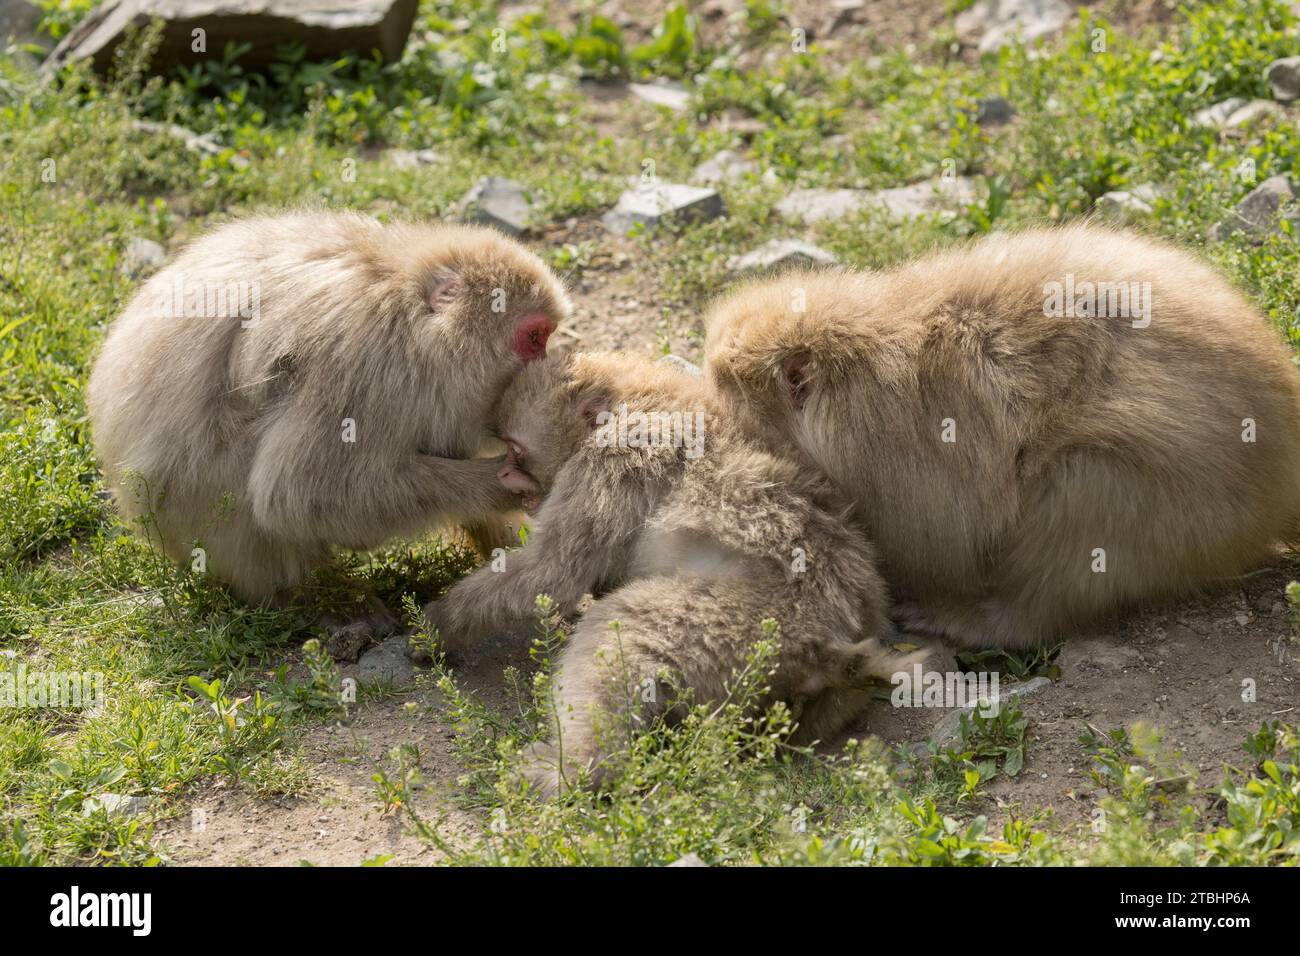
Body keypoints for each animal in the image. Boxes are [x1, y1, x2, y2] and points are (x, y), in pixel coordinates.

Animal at [87, 211, 571, 607]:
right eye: (534, 337)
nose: (547, 368)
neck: (408, 312)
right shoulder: (364, 365)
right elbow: (297, 493)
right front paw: (500, 485)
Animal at [424, 351, 923, 796]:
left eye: (515, 450)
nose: (505, 475)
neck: (632, 399)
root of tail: (825, 647)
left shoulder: (613, 460)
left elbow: (550, 576)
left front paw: (437, 624)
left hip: (736, 631)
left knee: (622, 626)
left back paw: (578, 769)